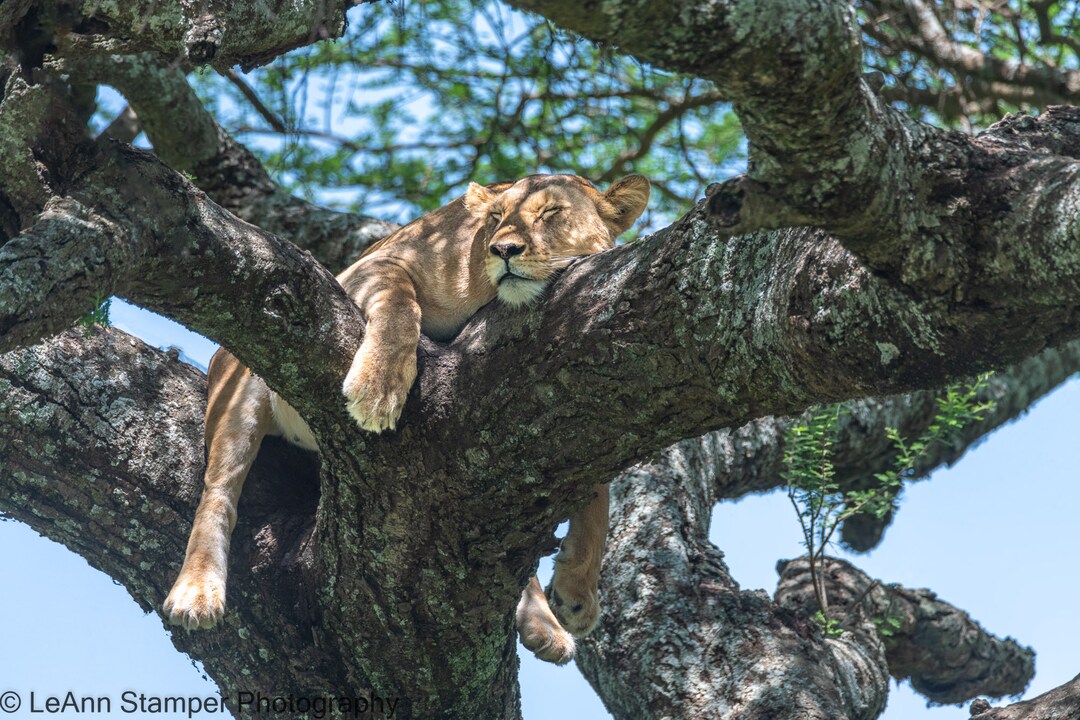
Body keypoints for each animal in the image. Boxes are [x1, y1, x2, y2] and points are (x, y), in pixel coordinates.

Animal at [163, 173, 651, 665]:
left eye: (550, 213)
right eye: (496, 217)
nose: (503, 249)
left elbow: (601, 494)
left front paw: (578, 592)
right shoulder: (370, 266)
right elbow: (399, 303)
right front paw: (377, 389)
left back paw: (541, 623)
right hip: (238, 393)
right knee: (218, 493)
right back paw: (196, 592)